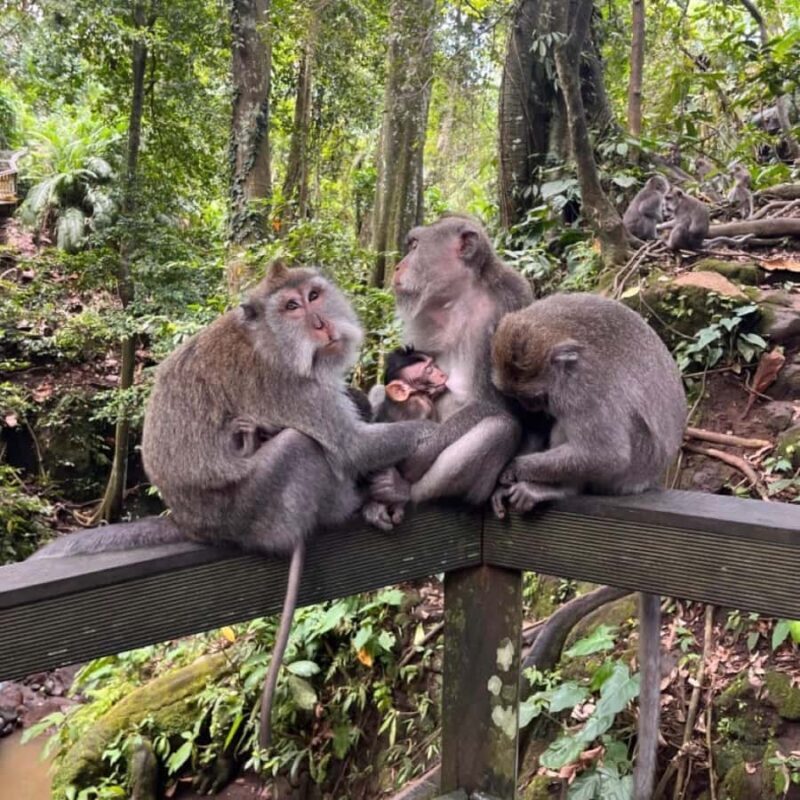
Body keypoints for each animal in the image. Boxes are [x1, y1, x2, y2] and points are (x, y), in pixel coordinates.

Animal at [31, 261, 435, 750]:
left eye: (314, 295)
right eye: (292, 306)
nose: (321, 324)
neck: (271, 342)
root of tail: (189, 522)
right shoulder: (287, 386)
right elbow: (352, 447)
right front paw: (434, 432)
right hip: (253, 512)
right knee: (301, 447)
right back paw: (348, 507)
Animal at [367, 214, 534, 520]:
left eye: (415, 245)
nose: (398, 266)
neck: (462, 297)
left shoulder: (509, 303)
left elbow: (492, 404)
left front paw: (413, 457)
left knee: (499, 427)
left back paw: (401, 490)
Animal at [489, 293, 687, 800]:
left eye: (536, 397)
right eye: (522, 400)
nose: (536, 412)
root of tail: (655, 476)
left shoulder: (583, 389)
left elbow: (604, 450)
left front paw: (514, 470)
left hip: (634, 466)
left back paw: (557, 487)